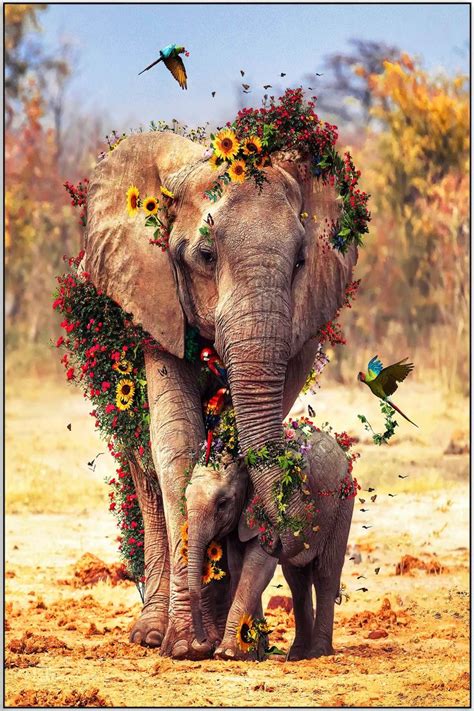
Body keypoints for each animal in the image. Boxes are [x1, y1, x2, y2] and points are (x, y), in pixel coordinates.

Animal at [185, 428, 355, 660]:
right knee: (297, 580)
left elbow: (256, 569)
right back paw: (297, 655)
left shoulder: (266, 514)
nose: (201, 643)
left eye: (222, 503)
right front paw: (249, 653)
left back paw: (318, 652)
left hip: (341, 507)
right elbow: (240, 570)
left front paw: (226, 653)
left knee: (325, 574)